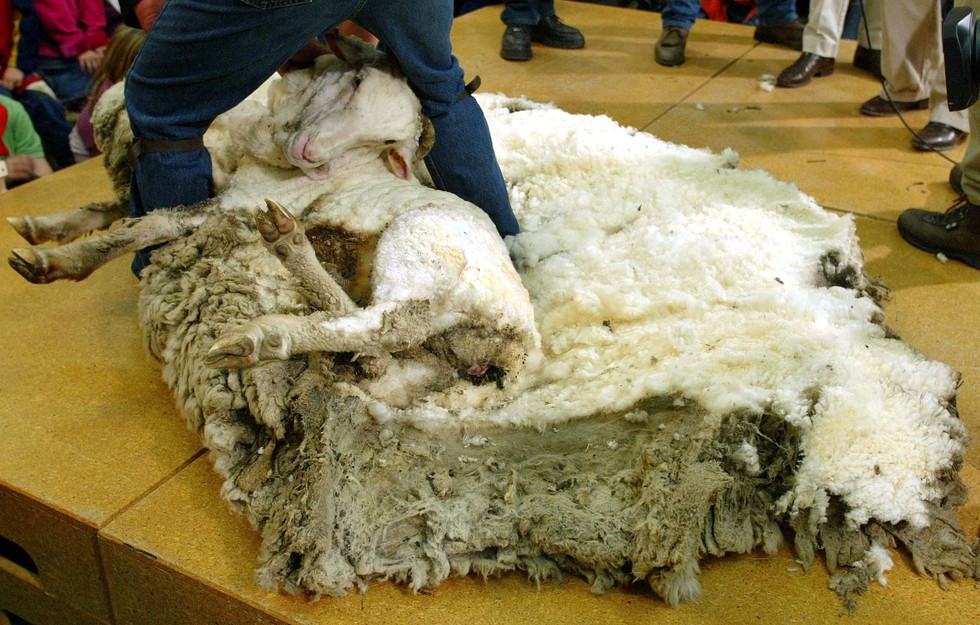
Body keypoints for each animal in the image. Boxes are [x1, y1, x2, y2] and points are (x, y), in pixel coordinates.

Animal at [6, 36, 539, 400]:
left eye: (387, 140)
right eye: (355, 83)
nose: (309, 154)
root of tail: (518, 342)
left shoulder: (241, 199)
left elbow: (152, 223)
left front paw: (55, 261)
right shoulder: (226, 182)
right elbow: (114, 208)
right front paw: (43, 230)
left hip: (421, 249)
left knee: (387, 324)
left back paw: (267, 320)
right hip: (426, 358)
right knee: (374, 350)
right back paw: (295, 257)